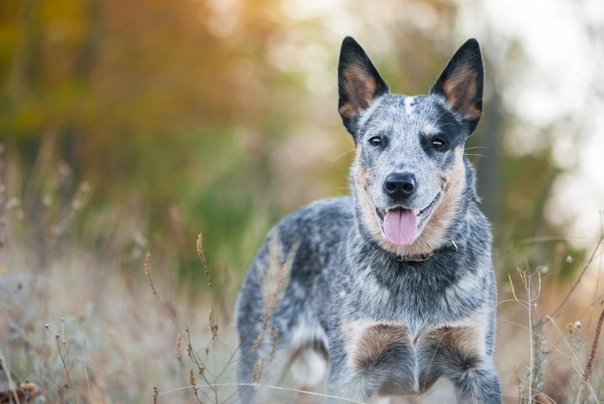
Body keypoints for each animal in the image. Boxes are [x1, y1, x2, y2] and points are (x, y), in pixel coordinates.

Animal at [234, 36, 502, 402]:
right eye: (376, 140)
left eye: (437, 141)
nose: (399, 184)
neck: (413, 264)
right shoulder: (352, 372)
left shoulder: (476, 368)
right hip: (261, 360)